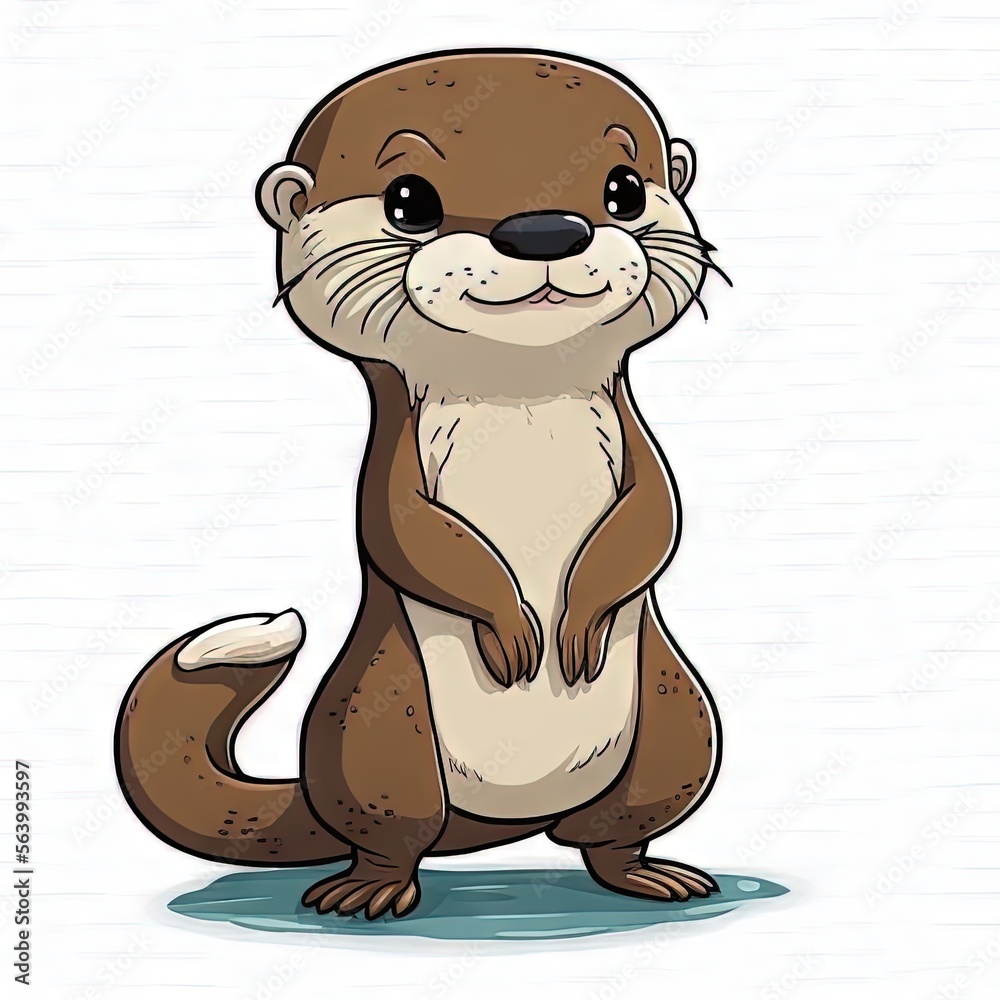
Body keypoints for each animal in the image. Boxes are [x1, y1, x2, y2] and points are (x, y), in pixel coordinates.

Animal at [115, 48, 728, 921]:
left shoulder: (639, 445)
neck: (518, 398)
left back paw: (646, 873)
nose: (545, 229)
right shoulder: (393, 468)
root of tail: (513, 815)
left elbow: (654, 520)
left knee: (612, 829)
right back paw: (369, 887)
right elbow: (407, 534)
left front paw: (574, 623)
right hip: (380, 725)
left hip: (676, 718)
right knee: (394, 831)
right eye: (410, 201)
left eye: (624, 189)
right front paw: (514, 629)